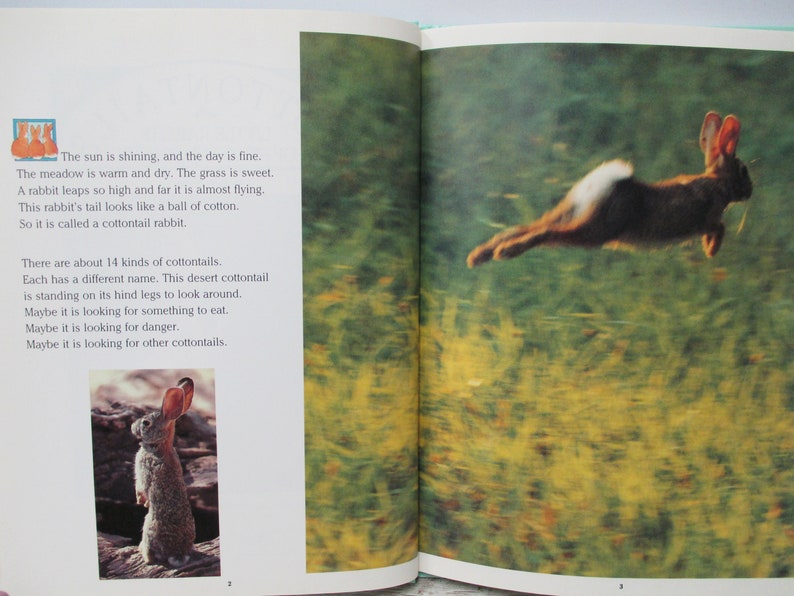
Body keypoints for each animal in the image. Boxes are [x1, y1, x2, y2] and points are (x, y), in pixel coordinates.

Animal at [132, 377, 196, 567]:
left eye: (146, 423)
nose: (132, 426)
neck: (160, 446)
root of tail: (177, 553)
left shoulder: (144, 472)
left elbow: (141, 488)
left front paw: (141, 501)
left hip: (148, 526)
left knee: (151, 556)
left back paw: (142, 553)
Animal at [466, 111, 752, 267]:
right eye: (744, 171)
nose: (750, 191)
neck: (717, 183)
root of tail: (604, 183)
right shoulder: (708, 217)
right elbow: (719, 227)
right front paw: (711, 250)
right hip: (597, 230)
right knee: (546, 233)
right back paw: (504, 252)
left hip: (571, 212)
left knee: (526, 227)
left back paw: (481, 255)